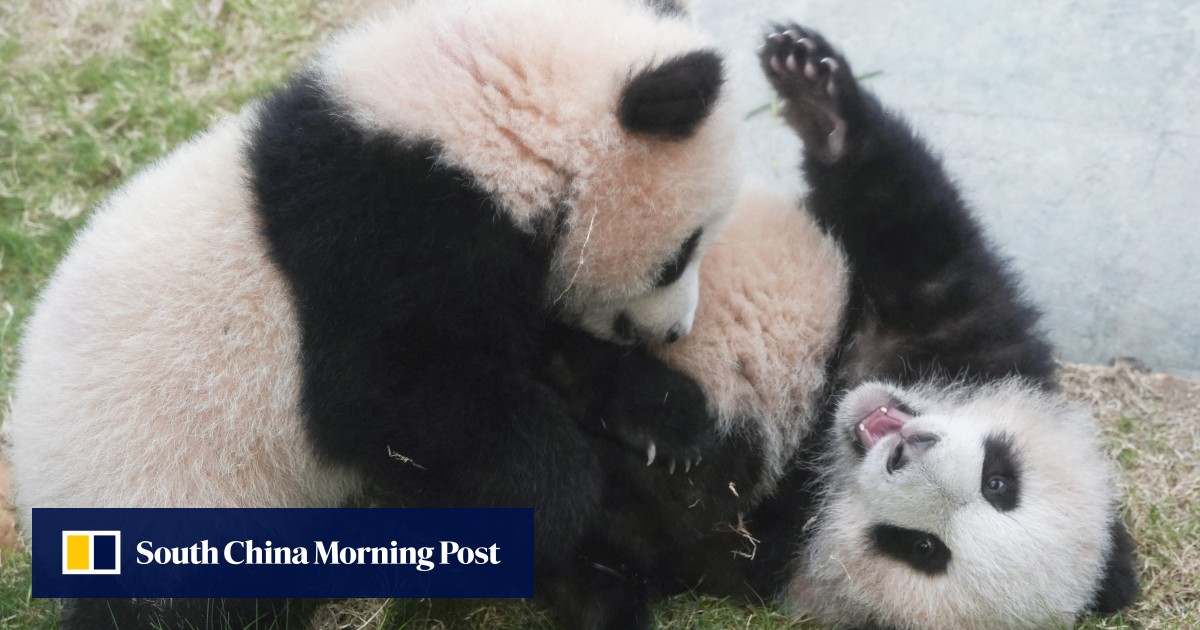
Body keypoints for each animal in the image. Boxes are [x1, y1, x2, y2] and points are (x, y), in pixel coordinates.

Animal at [5, 0, 739, 627]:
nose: (674, 331)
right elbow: (393, 393)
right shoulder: (372, 237)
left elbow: (535, 349)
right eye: (680, 254)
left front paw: (669, 417)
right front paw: (561, 493)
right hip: (172, 500)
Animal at [547, 22, 1139, 630]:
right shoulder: (968, 331)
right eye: (1000, 480)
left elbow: (625, 513)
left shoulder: (747, 539)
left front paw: (639, 408)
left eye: (920, 547)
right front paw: (814, 86)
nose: (905, 452)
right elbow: (907, 215)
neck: (826, 420)